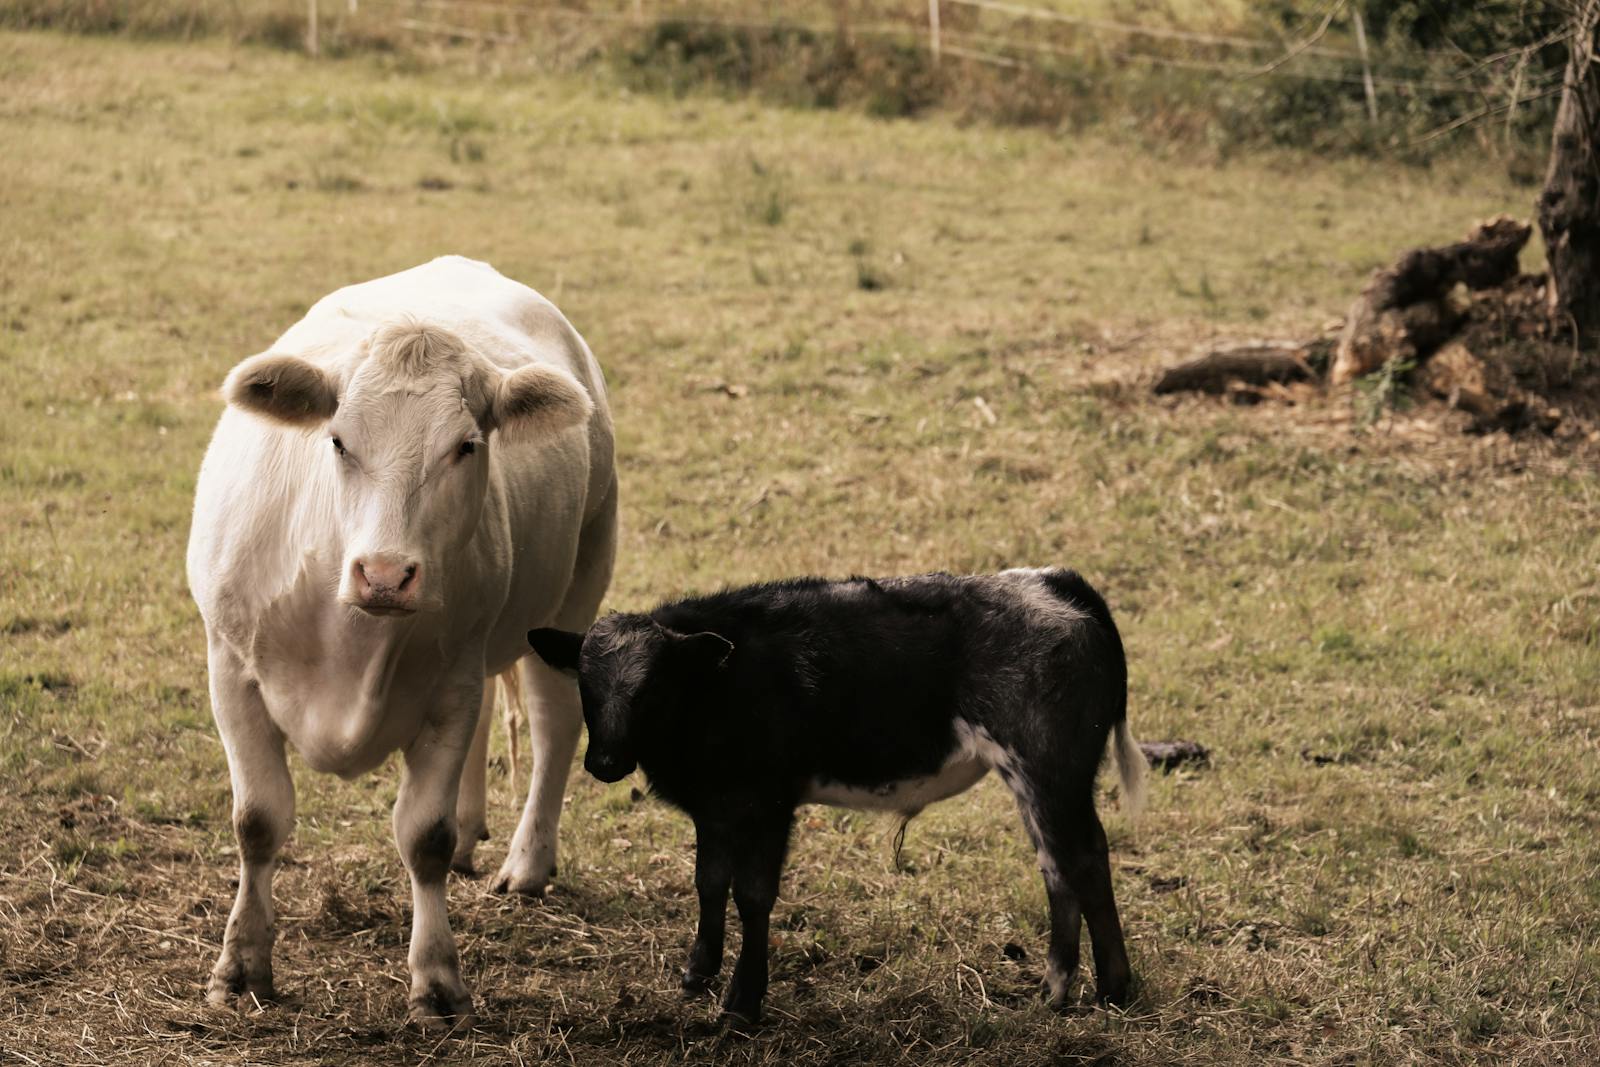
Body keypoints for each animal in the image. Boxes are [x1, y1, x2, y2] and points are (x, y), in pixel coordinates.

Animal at [186, 256, 617, 1028]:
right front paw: (241, 966)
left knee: (554, 720)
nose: (385, 574)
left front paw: (437, 979)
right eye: (337, 440)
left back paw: (527, 862)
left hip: (579, 579)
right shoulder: (230, 669)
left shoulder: (450, 688)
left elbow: (424, 836)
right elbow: (258, 820)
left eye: (465, 447)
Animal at [527, 568, 1146, 1025]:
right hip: (1042, 781)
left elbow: (752, 895)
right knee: (1060, 865)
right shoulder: (716, 808)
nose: (606, 762)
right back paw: (1069, 988)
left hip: (1048, 769)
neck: (719, 688)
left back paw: (1102, 988)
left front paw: (743, 1003)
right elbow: (709, 883)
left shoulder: (767, 804)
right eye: (585, 685)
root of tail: (1051, 581)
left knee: (1081, 859)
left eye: (652, 687)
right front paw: (698, 972)